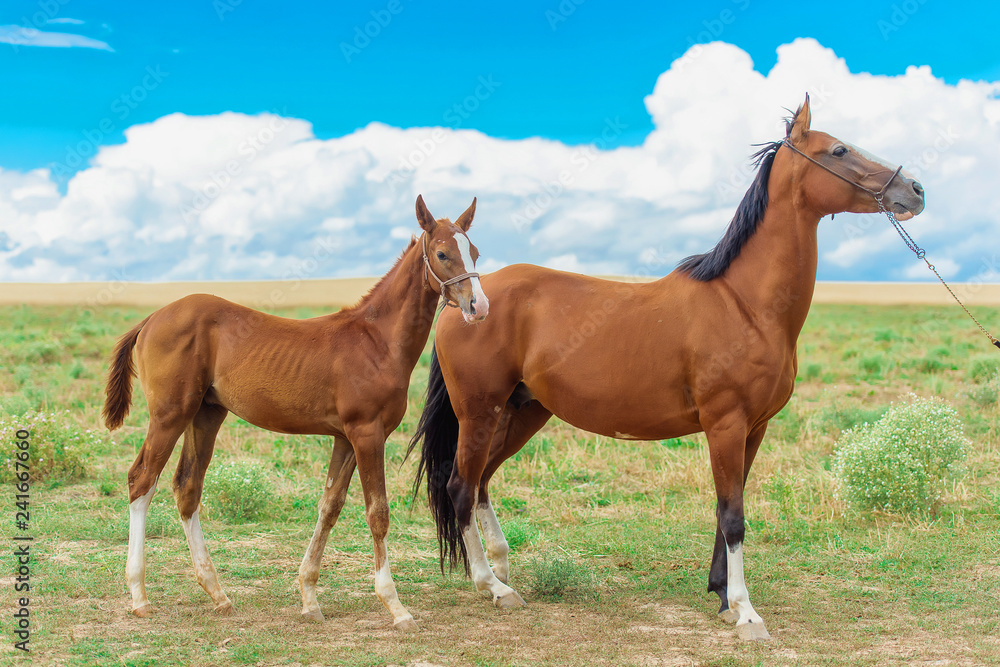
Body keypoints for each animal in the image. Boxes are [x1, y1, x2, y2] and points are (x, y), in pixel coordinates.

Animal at [103, 195, 488, 631]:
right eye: (442, 254)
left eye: (474, 251)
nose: (478, 306)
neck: (377, 341)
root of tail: (152, 317)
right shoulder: (367, 433)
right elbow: (378, 512)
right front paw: (396, 606)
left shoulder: (344, 438)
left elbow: (330, 507)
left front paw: (309, 598)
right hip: (170, 415)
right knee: (141, 481)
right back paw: (139, 595)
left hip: (205, 415)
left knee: (187, 488)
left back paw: (218, 594)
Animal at [408, 95, 926, 641]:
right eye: (839, 149)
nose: (914, 190)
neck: (745, 303)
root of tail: (464, 299)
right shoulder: (725, 425)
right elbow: (734, 516)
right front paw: (746, 612)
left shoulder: (754, 429)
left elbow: (726, 511)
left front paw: (721, 597)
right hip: (479, 412)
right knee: (460, 487)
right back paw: (493, 585)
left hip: (521, 412)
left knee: (481, 482)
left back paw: (501, 569)